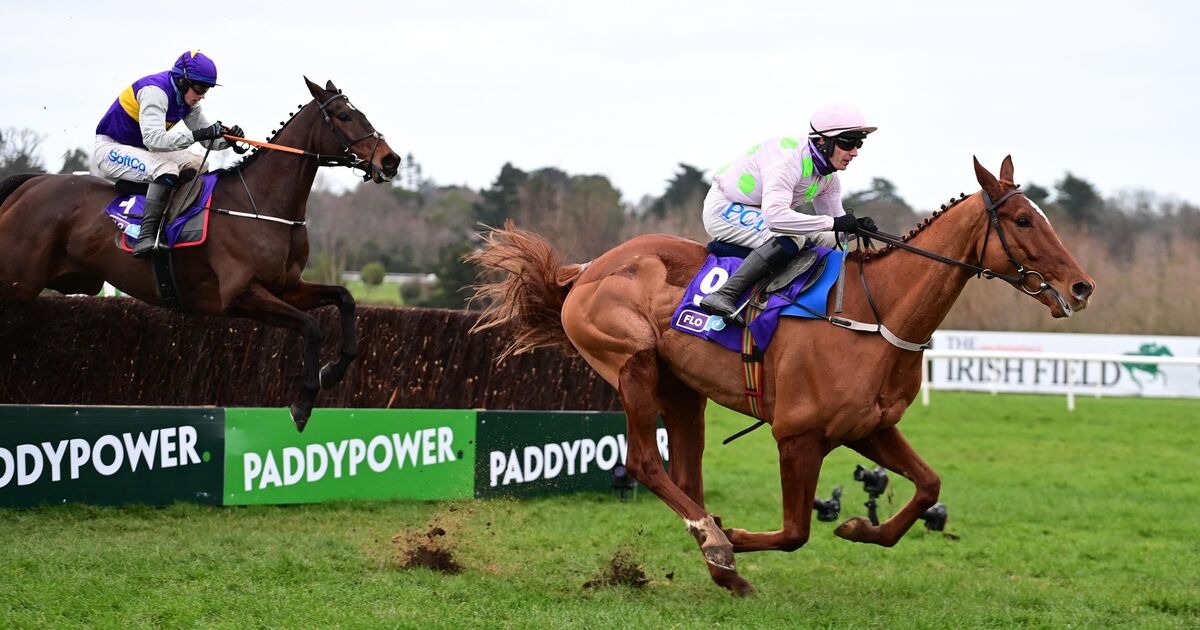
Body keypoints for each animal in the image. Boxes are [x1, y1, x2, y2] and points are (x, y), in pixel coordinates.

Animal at [0, 78, 400, 431]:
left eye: (361, 112)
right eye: (344, 116)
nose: (391, 160)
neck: (261, 203)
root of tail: (34, 181)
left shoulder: (287, 287)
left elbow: (345, 298)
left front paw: (333, 371)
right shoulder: (241, 295)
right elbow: (311, 327)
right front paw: (303, 403)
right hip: (17, 280)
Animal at [469, 156, 1096, 594]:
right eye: (1022, 219)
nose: (1082, 286)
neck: (874, 314)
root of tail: (586, 271)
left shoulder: (869, 428)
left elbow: (929, 485)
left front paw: (860, 529)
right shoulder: (797, 436)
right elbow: (795, 532)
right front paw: (736, 541)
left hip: (683, 390)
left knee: (686, 474)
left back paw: (715, 548)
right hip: (633, 364)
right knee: (646, 461)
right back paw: (717, 546)